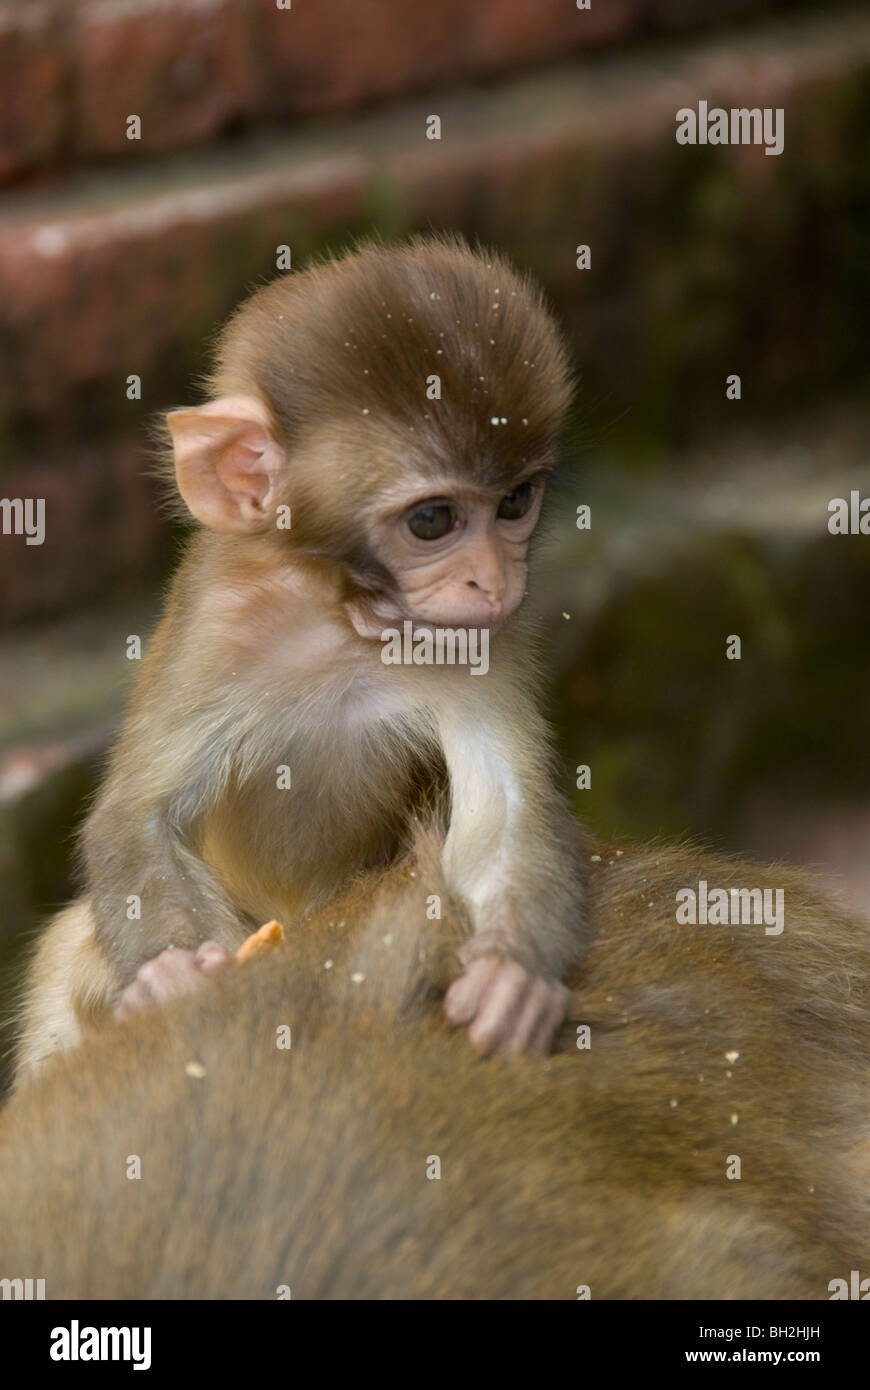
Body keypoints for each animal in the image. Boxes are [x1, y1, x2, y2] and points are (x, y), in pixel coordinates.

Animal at [14, 235, 589, 1077]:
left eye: (515, 503)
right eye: (433, 520)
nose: (494, 580)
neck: (340, 616)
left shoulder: (489, 638)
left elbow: (504, 809)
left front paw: (511, 974)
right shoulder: (216, 622)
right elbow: (135, 813)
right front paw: (169, 973)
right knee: (65, 950)